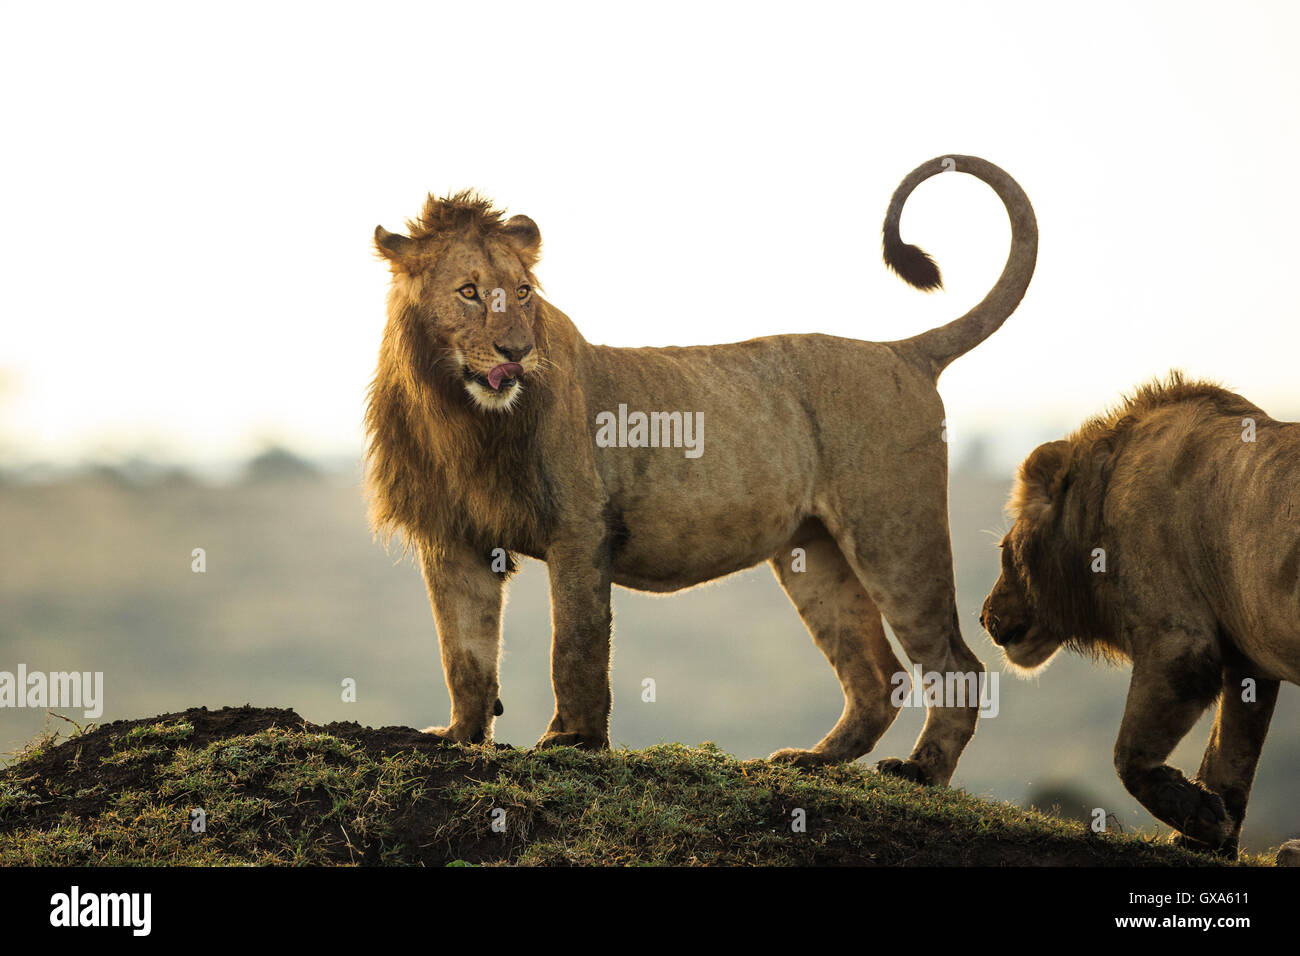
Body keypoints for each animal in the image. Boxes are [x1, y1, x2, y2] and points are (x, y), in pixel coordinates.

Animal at [366, 155, 1037, 786]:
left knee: (956, 664)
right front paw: (458, 737)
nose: (517, 350)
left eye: (525, 292)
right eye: (469, 291)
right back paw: (812, 760)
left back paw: (921, 771)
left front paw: (572, 742)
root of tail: (902, 352)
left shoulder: (580, 530)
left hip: (893, 537)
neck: (460, 415)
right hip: (814, 554)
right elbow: (464, 650)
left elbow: (576, 646)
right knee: (877, 676)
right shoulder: (451, 539)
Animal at [981, 372, 1300, 855]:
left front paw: (1200, 817)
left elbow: (1128, 754)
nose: (984, 618)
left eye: (1003, 551)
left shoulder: (1179, 641)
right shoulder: (1249, 665)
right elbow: (1231, 752)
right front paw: (1207, 838)